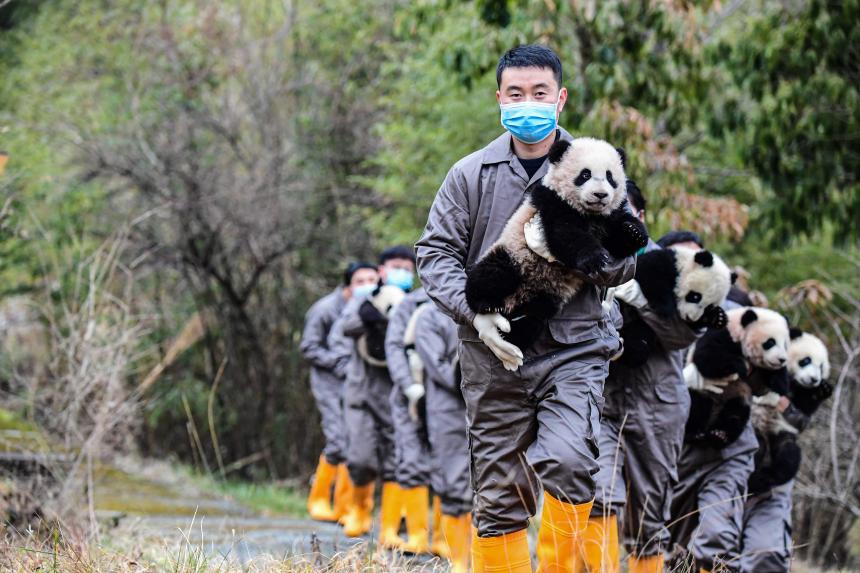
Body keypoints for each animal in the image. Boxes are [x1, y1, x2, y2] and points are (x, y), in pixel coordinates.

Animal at [464, 137, 649, 347]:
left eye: (610, 177)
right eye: (585, 174)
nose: (600, 195)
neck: (590, 214)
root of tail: (511, 302)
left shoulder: (609, 218)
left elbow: (617, 242)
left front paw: (635, 231)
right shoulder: (551, 203)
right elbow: (564, 234)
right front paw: (594, 258)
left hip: (546, 296)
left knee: (532, 318)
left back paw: (512, 334)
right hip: (514, 255)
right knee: (492, 273)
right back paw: (486, 304)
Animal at [684, 307, 791, 448]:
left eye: (785, 345)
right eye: (770, 342)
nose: (782, 359)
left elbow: (768, 383)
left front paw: (781, 384)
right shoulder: (723, 334)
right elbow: (706, 357)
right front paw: (740, 366)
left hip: (737, 396)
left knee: (735, 416)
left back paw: (719, 436)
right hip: (703, 392)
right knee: (697, 407)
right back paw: (694, 434)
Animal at [747, 329, 832, 494]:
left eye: (821, 367)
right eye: (806, 360)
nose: (814, 379)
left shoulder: (798, 397)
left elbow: (803, 410)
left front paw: (822, 390)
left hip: (780, 433)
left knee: (788, 455)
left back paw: (764, 478)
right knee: (758, 446)